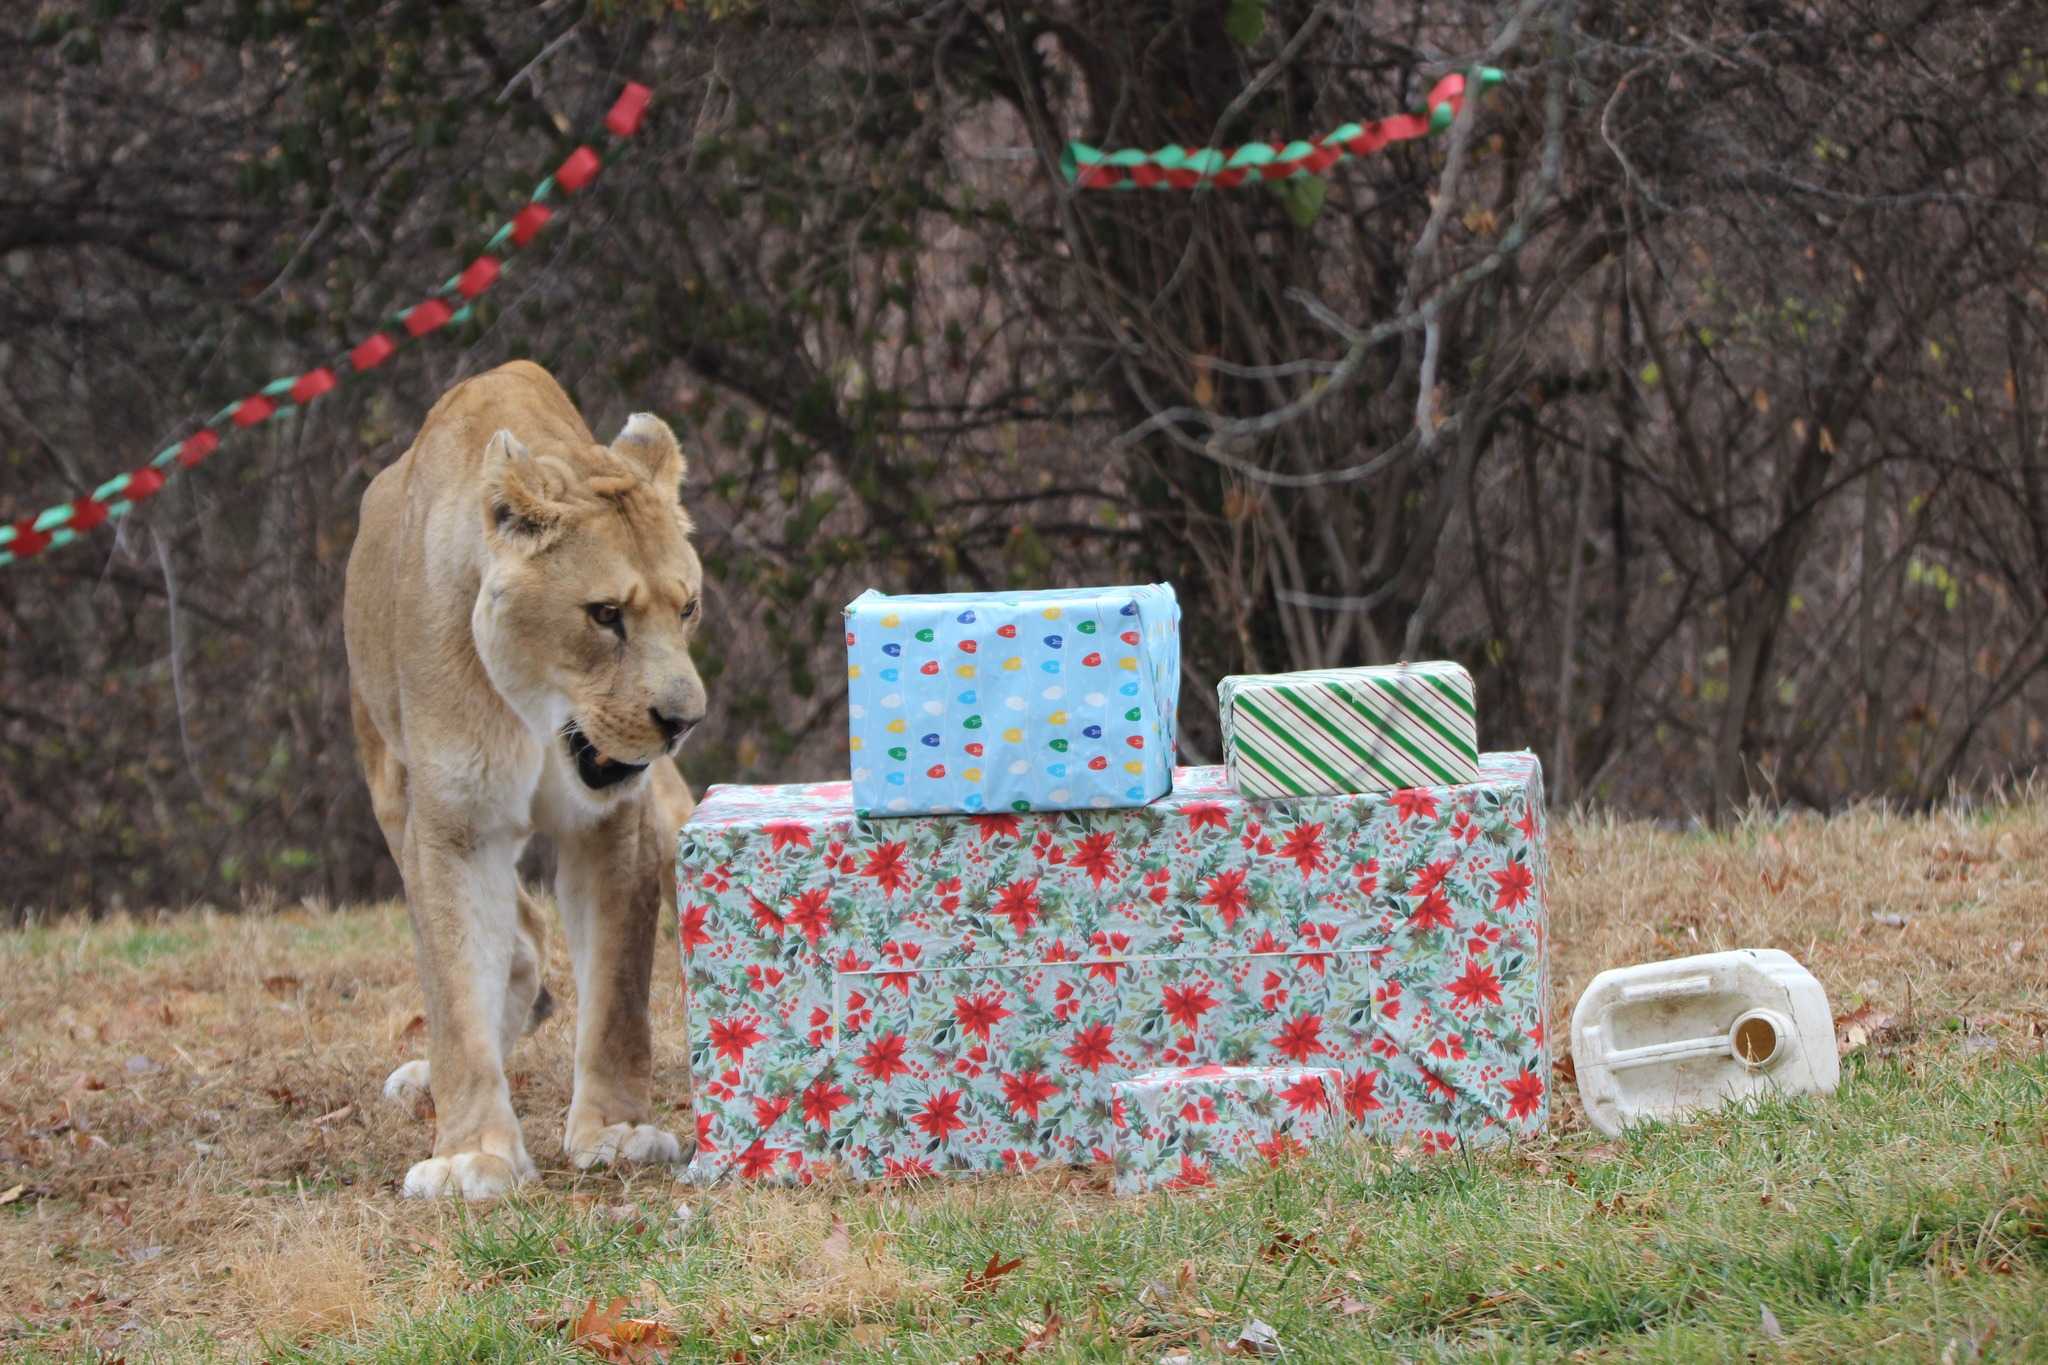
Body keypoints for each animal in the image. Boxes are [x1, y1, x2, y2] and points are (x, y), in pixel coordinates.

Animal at [343, 360, 706, 1199]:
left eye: (688, 607)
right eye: (604, 614)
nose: (683, 719)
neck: (539, 713)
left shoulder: (615, 822)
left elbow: (617, 994)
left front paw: (616, 1131)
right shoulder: (454, 823)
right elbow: (454, 986)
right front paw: (473, 1154)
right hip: (390, 785)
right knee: (506, 943)